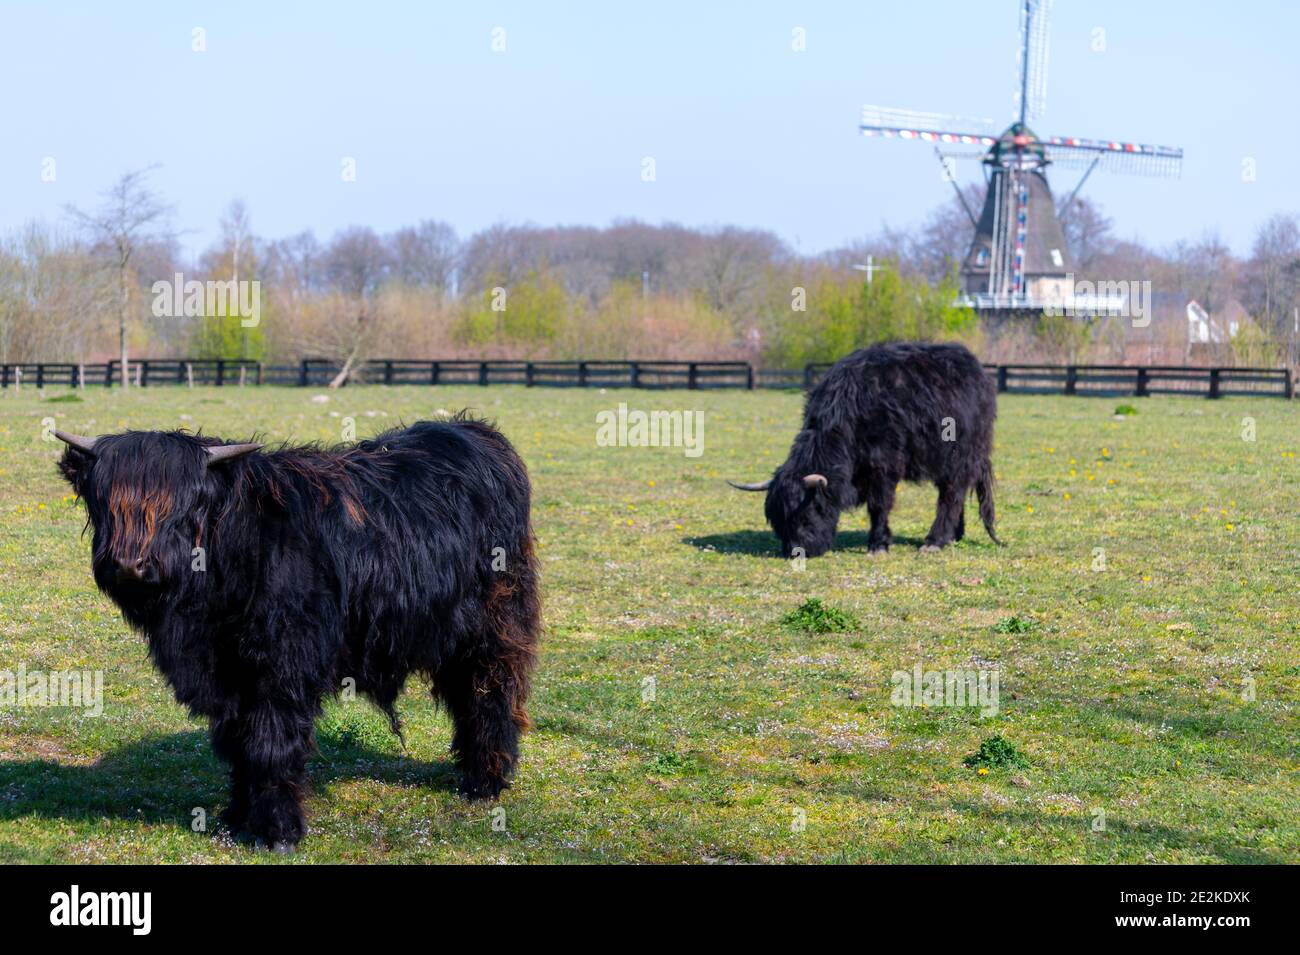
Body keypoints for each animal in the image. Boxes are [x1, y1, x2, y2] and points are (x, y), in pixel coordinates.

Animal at [55, 415, 540, 851]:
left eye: (181, 505)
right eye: (104, 500)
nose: (130, 565)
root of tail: (475, 432)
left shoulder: (283, 669)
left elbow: (271, 745)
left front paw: (278, 833)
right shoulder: (227, 677)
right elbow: (238, 745)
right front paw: (238, 818)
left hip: (494, 624)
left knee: (490, 690)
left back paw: (485, 781)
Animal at [730, 342, 1001, 558]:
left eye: (804, 516)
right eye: (778, 523)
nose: (795, 552)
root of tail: (977, 371)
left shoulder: (884, 466)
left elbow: (879, 506)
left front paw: (878, 545)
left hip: (961, 457)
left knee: (951, 495)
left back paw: (934, 541)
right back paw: (954, 535)